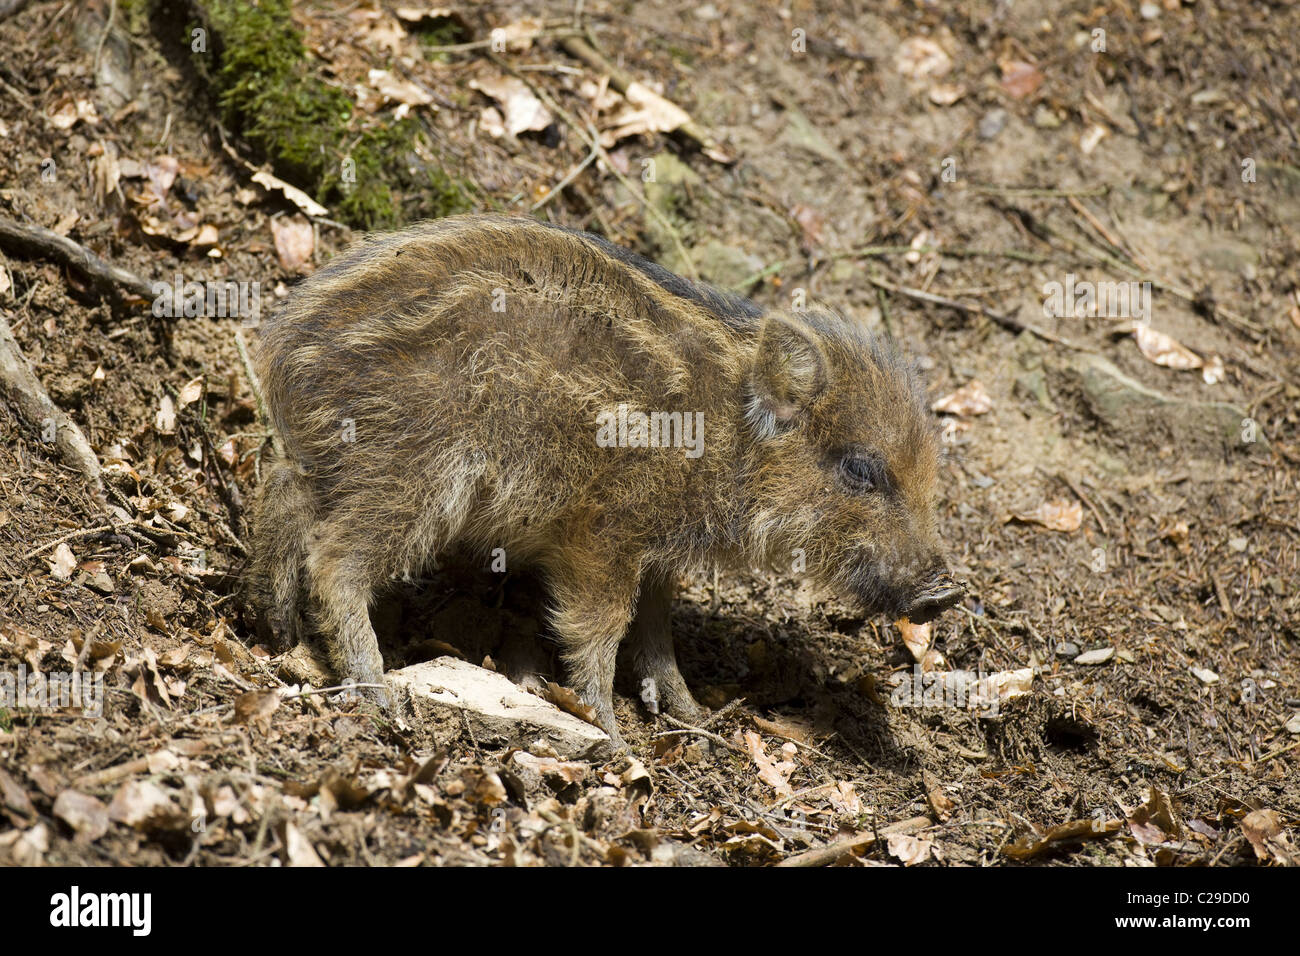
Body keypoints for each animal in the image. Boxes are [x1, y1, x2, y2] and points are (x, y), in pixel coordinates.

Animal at [246, 214, 962, 748]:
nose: (946, 591)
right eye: (861, 468)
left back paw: (275, 629)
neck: (722, 438)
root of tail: (281, 342)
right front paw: (611, 735)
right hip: (414, 469)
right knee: (335, 560)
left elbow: (656, 634)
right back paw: (378, 694)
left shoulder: (657, 554)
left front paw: (695, 718)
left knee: (282, 492)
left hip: (342, 458)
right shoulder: (603, 532)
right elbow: (601, 627)